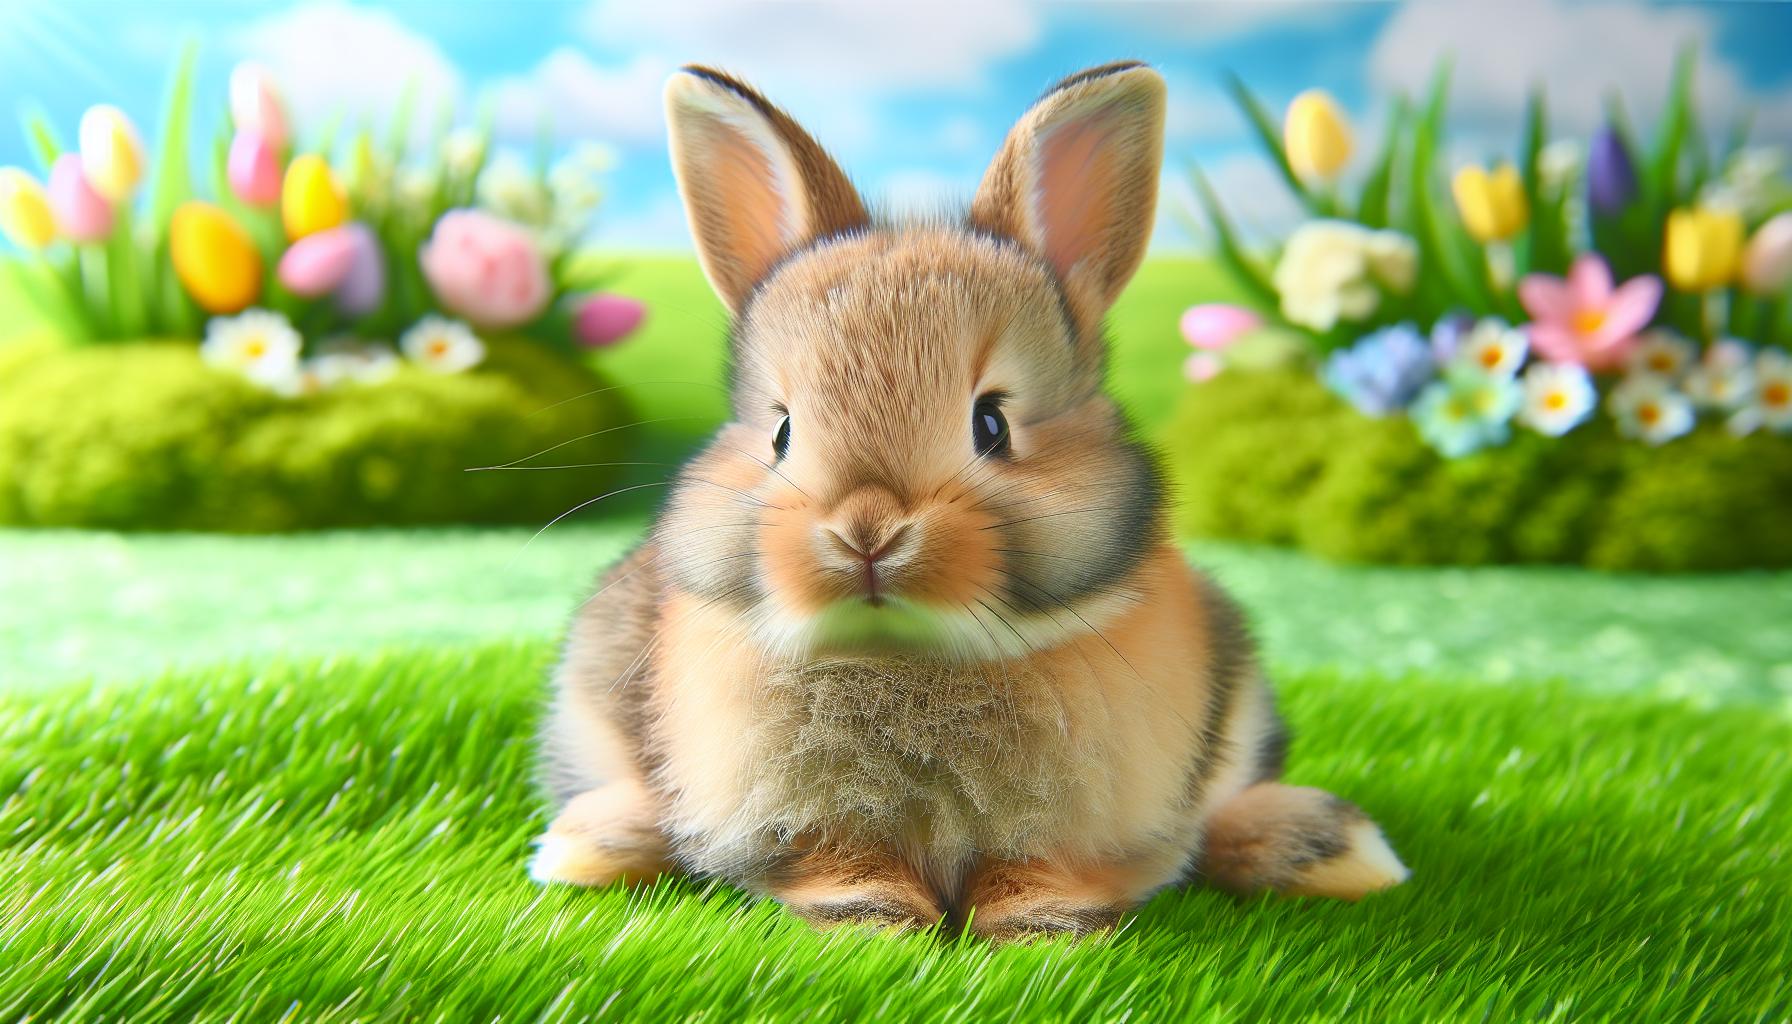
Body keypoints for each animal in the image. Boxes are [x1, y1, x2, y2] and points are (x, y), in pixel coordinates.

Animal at [530, 61, 1408, 940]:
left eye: (992, 422)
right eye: (780, 431)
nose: (867, 531)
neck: (906, 654)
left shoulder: (1065, 830)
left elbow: (1038, 872)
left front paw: (1042, 931)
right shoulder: (816, 831)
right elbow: (845, 866)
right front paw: (869, 924)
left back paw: (1334, 850)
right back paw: (589, 846)